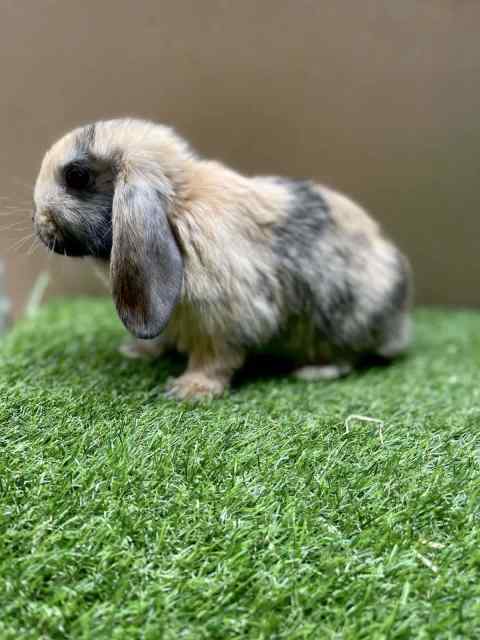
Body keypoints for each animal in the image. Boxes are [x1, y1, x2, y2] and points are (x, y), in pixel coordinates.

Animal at [33, 118, 413, 400]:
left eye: (77, 176)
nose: (38, 222)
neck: (177, 207)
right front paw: (138, 352)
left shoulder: (222, 319)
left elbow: (214, 359)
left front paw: (188, 391)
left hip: (341, 320)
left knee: (348, 357)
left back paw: (313, 371)